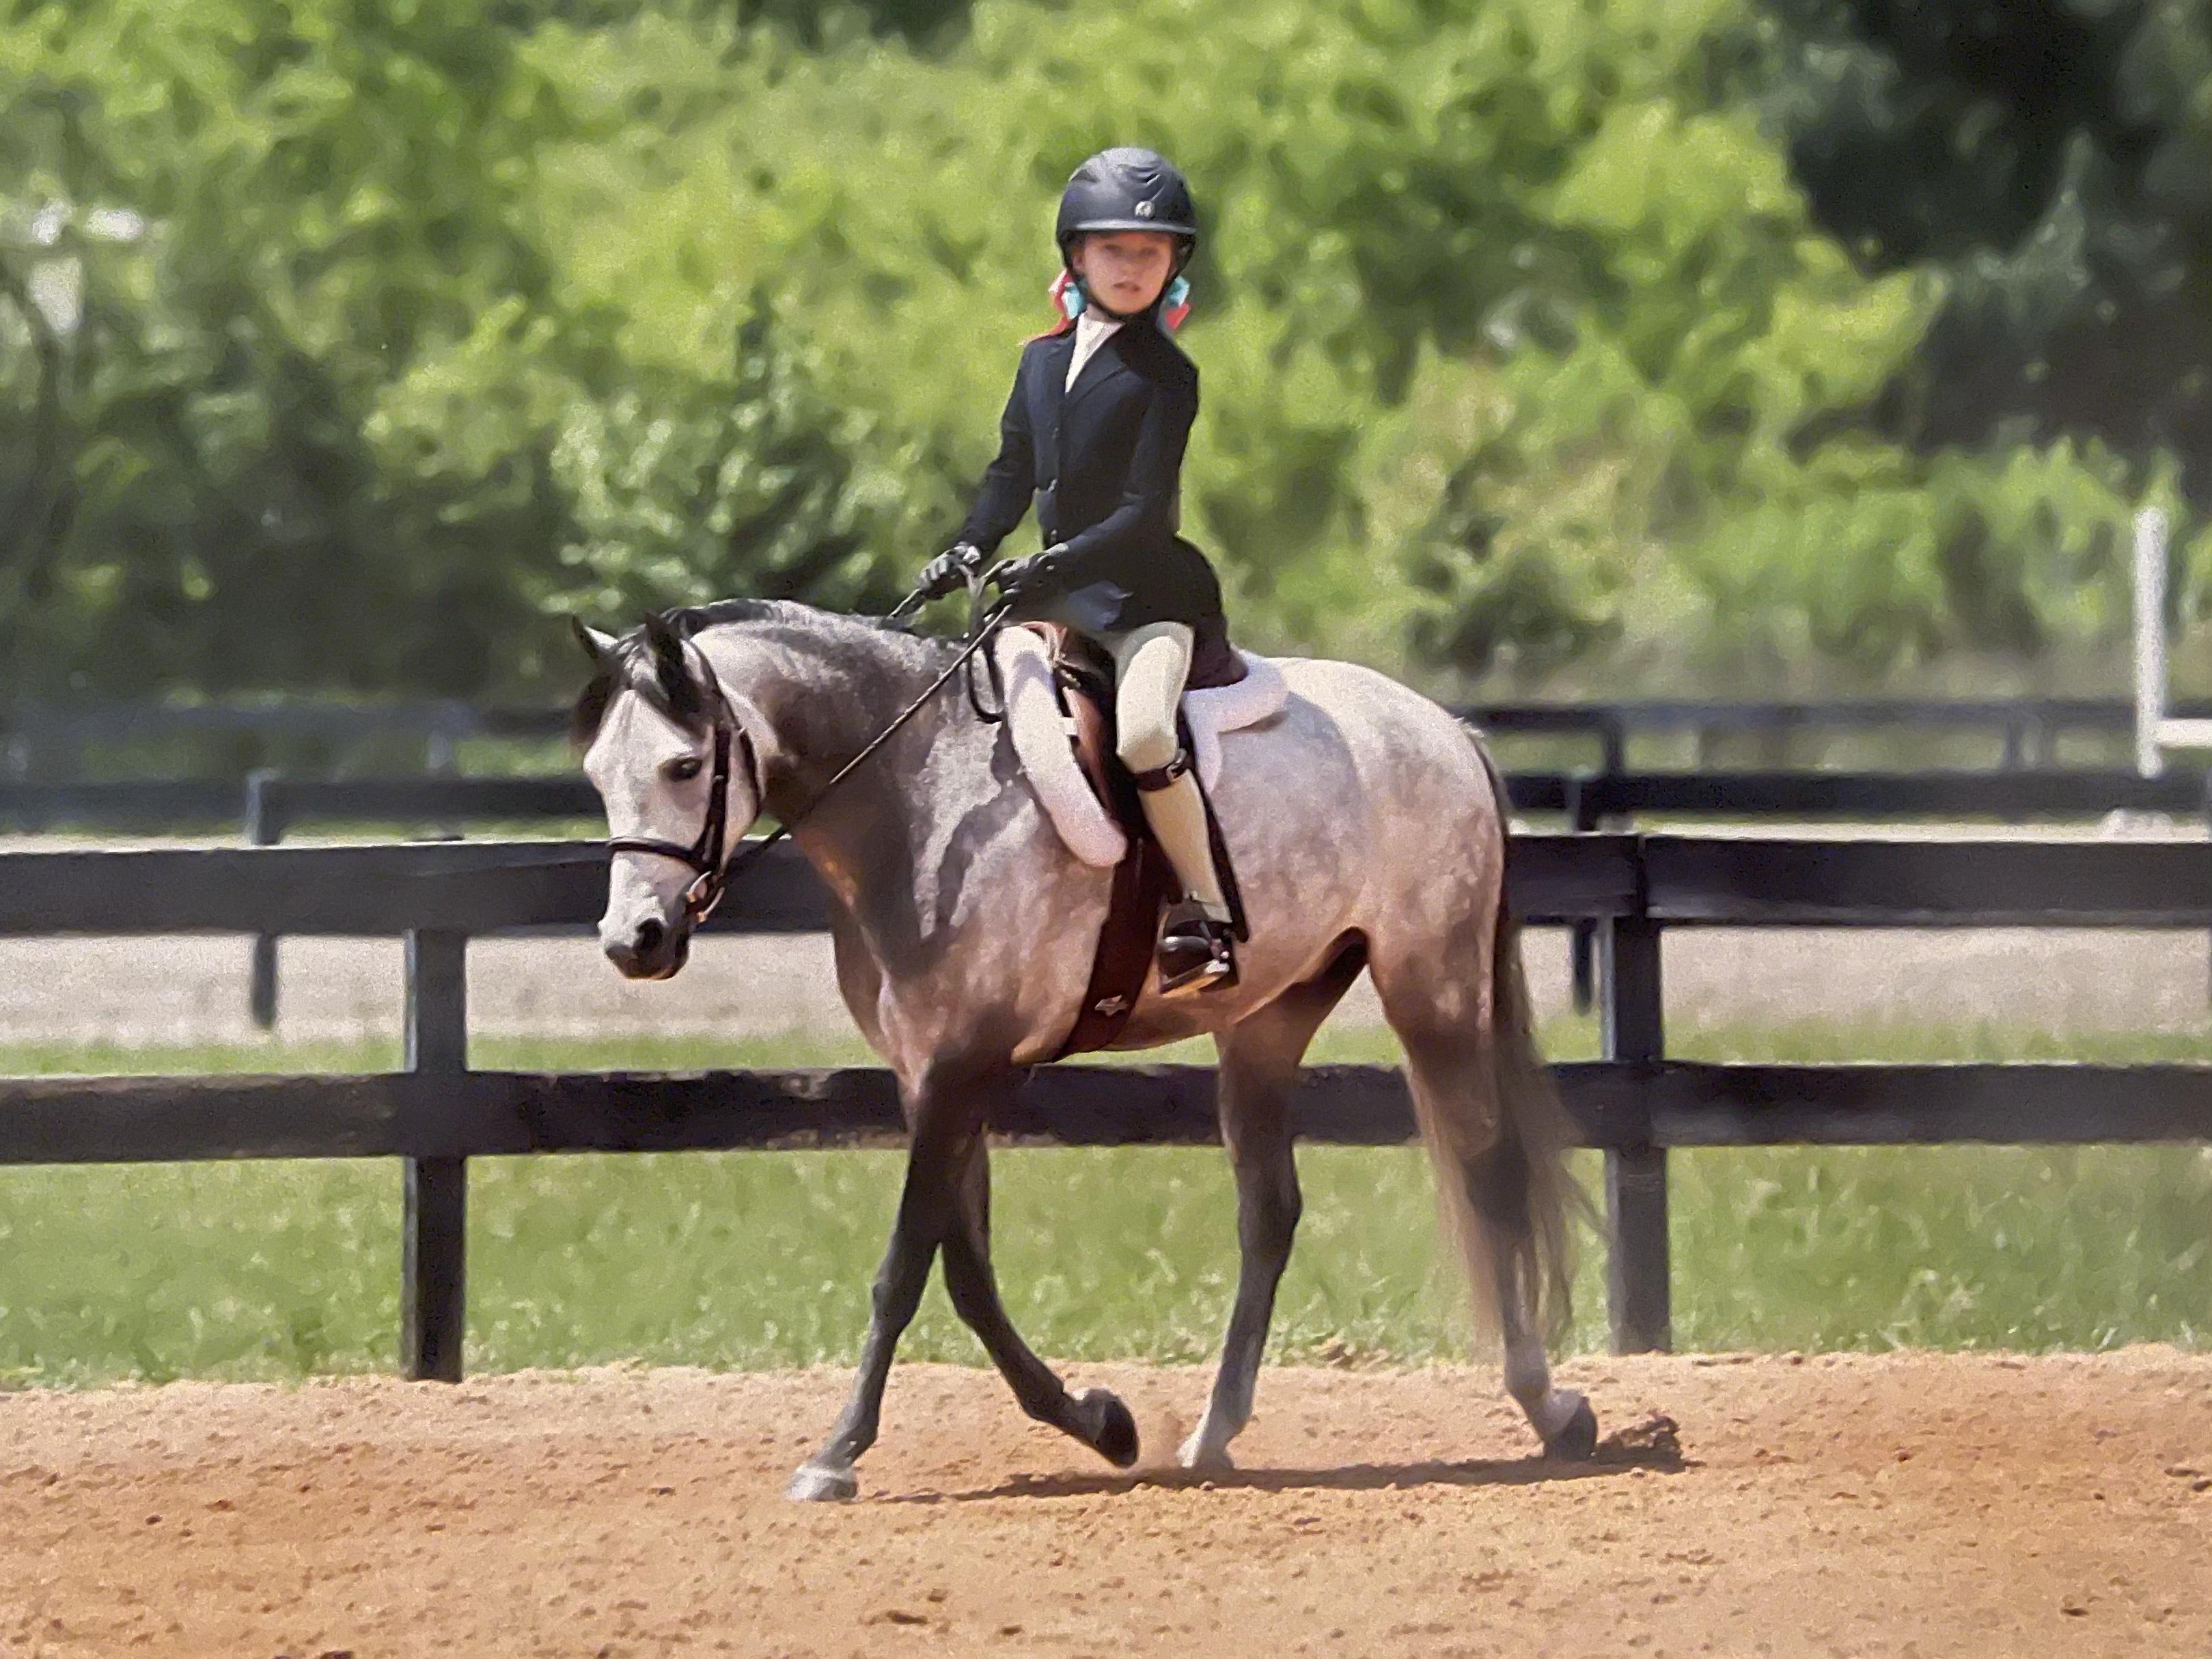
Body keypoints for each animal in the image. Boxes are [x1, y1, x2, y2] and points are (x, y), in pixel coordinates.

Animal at [570, 598, 1596, 1501]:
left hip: (1433, 987)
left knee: (1489, 1171)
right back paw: (1211, 1435)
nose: (634, 942)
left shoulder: (963, 1070)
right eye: (595, 774)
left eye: (684, 764)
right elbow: (966, 1273)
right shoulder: (931, 1074)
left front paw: (835, 1455)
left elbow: (904, 1267)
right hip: (1268, 1020)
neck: (920, 795)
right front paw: (1101, 1422)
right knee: (1269, 1212)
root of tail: (1440, 727)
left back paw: (1549, 1408)